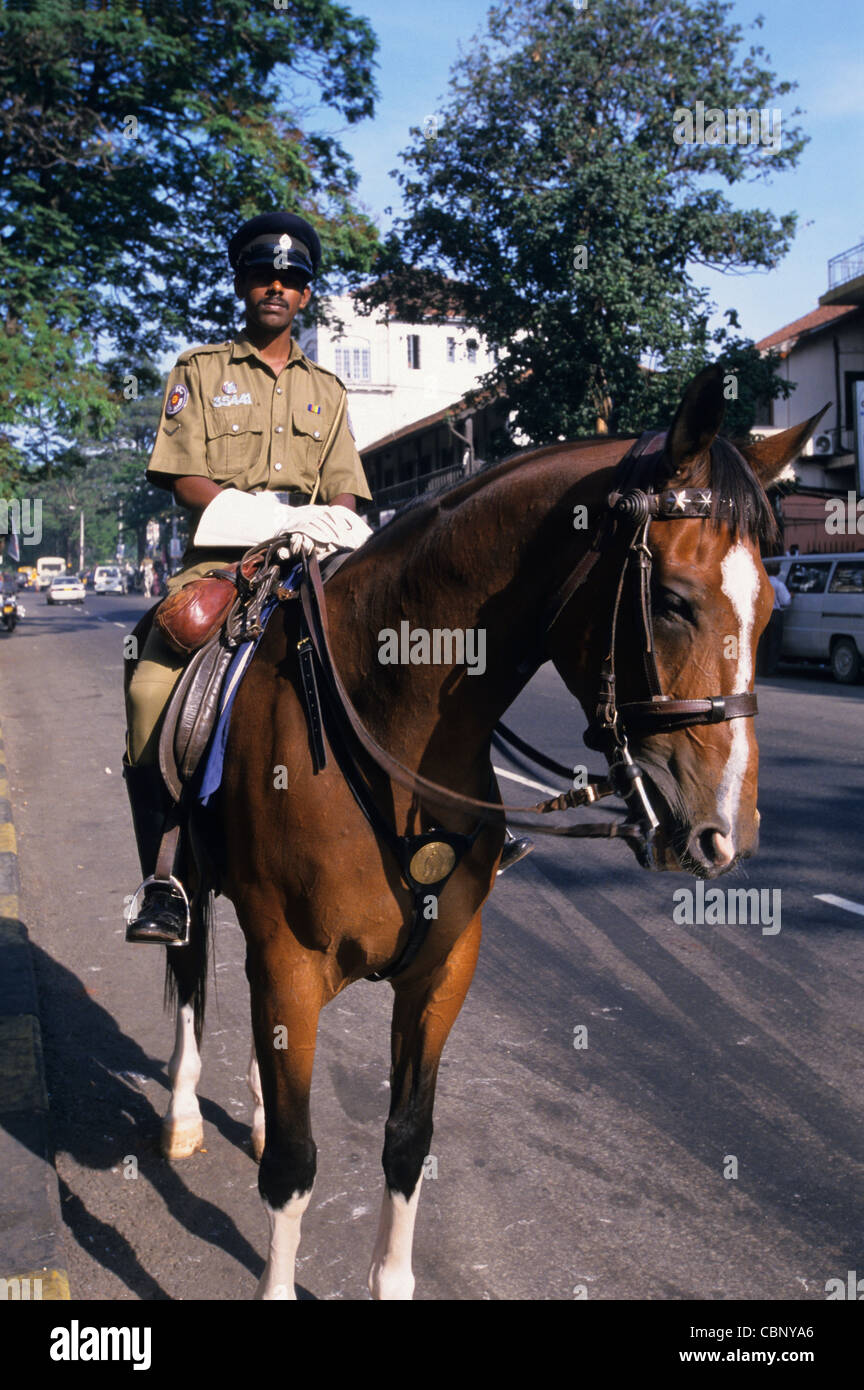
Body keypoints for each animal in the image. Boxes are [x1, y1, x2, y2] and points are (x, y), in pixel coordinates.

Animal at [147, 365, 824, 1299]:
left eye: (767, 613)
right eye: (674, 602)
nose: (727, 832)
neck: (386, 729)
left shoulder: (442, 970)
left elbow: (405, 1141)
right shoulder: (290, 960)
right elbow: (293, 1162)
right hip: (184, 870)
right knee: (185, 971)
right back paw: (182, 1113)